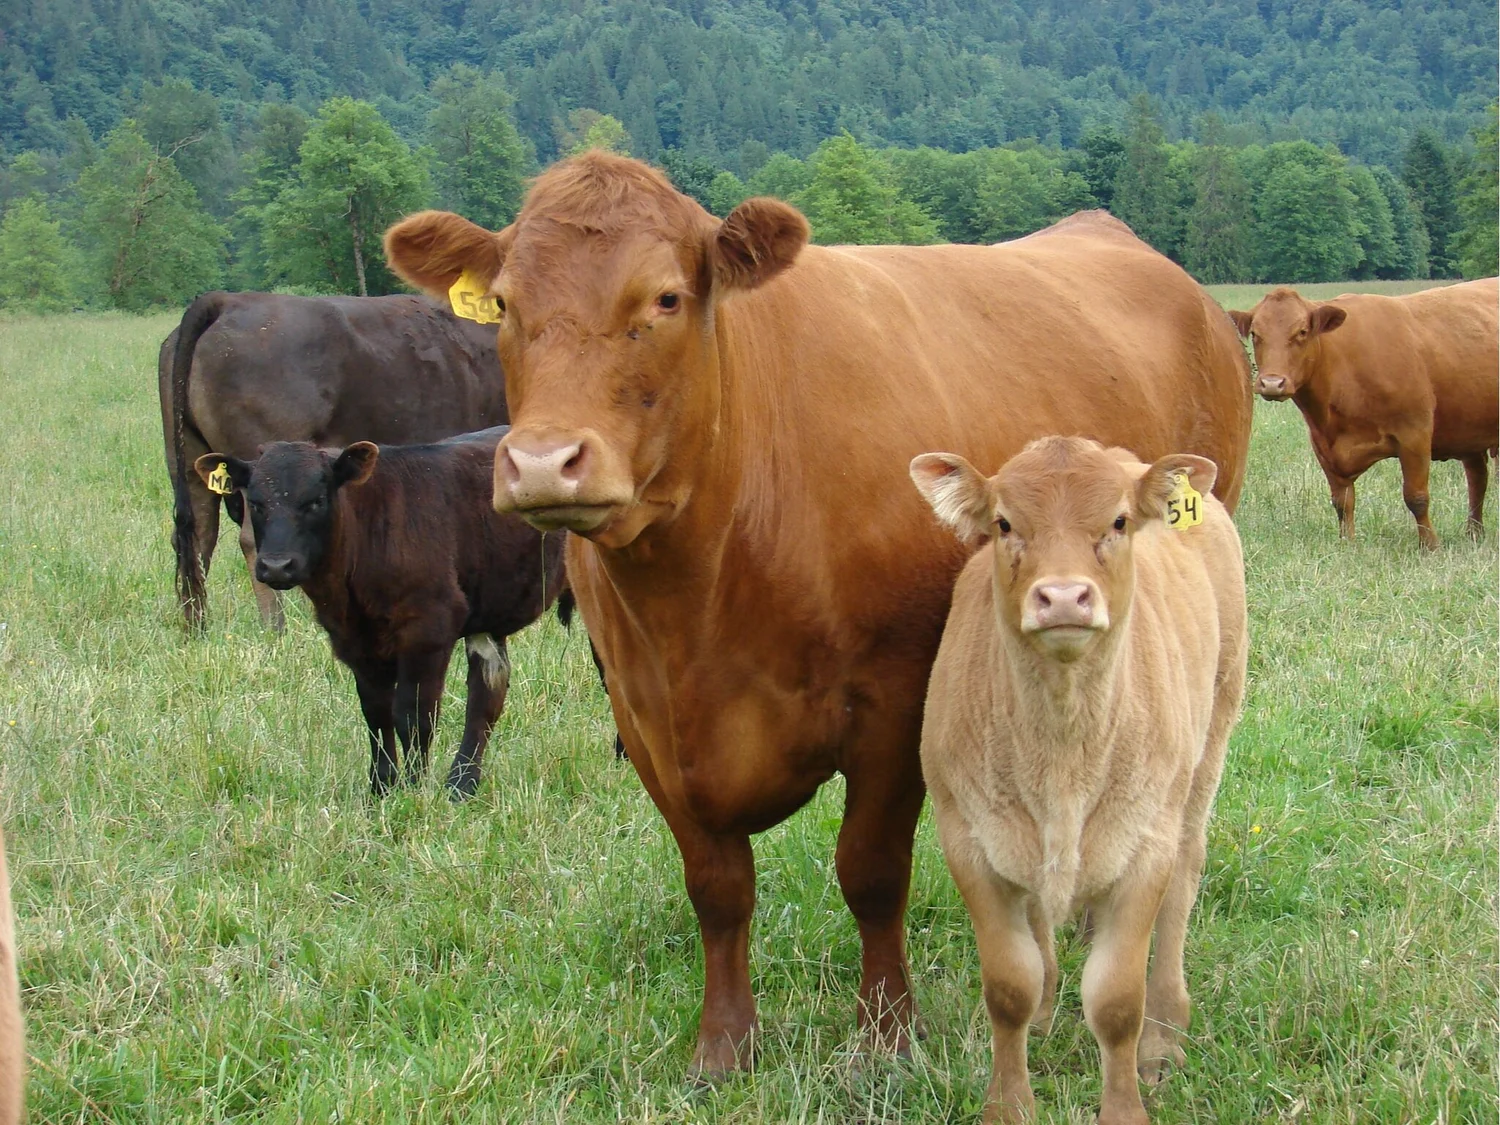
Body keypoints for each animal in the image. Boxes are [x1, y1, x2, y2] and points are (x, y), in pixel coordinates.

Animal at [163, 291, 508, 632]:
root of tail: (228, 300)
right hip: (261, 470)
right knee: (249, 539)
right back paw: (275, 627)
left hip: (191, 465)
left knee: (195, 537)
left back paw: (195, 626)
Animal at [194, 427, 567, 798]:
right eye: (256, 503)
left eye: (316, 500)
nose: (276, 566)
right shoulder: (355, 640)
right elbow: (376, 712)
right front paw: (382, 787)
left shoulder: (428, 631)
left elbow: (413, 715)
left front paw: (414, 788)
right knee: (487, 694)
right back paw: (461, 784)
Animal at [910, 437, 1247, 1125]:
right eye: (1004, 523)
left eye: (1118, 522)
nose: (1064, 597)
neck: (1062, 758)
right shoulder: (968, 841)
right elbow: (1009, 987)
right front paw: (1009, 1103)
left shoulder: (1146, 846)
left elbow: (1116, 1001)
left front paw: (1125, 1104)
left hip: (1210, 742)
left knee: (1184, 882)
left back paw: (1165, 1031)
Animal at [1228, 279, 1499, 549]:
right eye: (1255, 334)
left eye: (1302, 331)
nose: (1272, 383)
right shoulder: (1323, 444)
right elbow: (1342, 500)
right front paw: (1347, 542)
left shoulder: (1415, 433)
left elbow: (1416, 496)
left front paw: (1430, 545)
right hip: (1469, 431)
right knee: (1477, 478)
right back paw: (1474, 533)